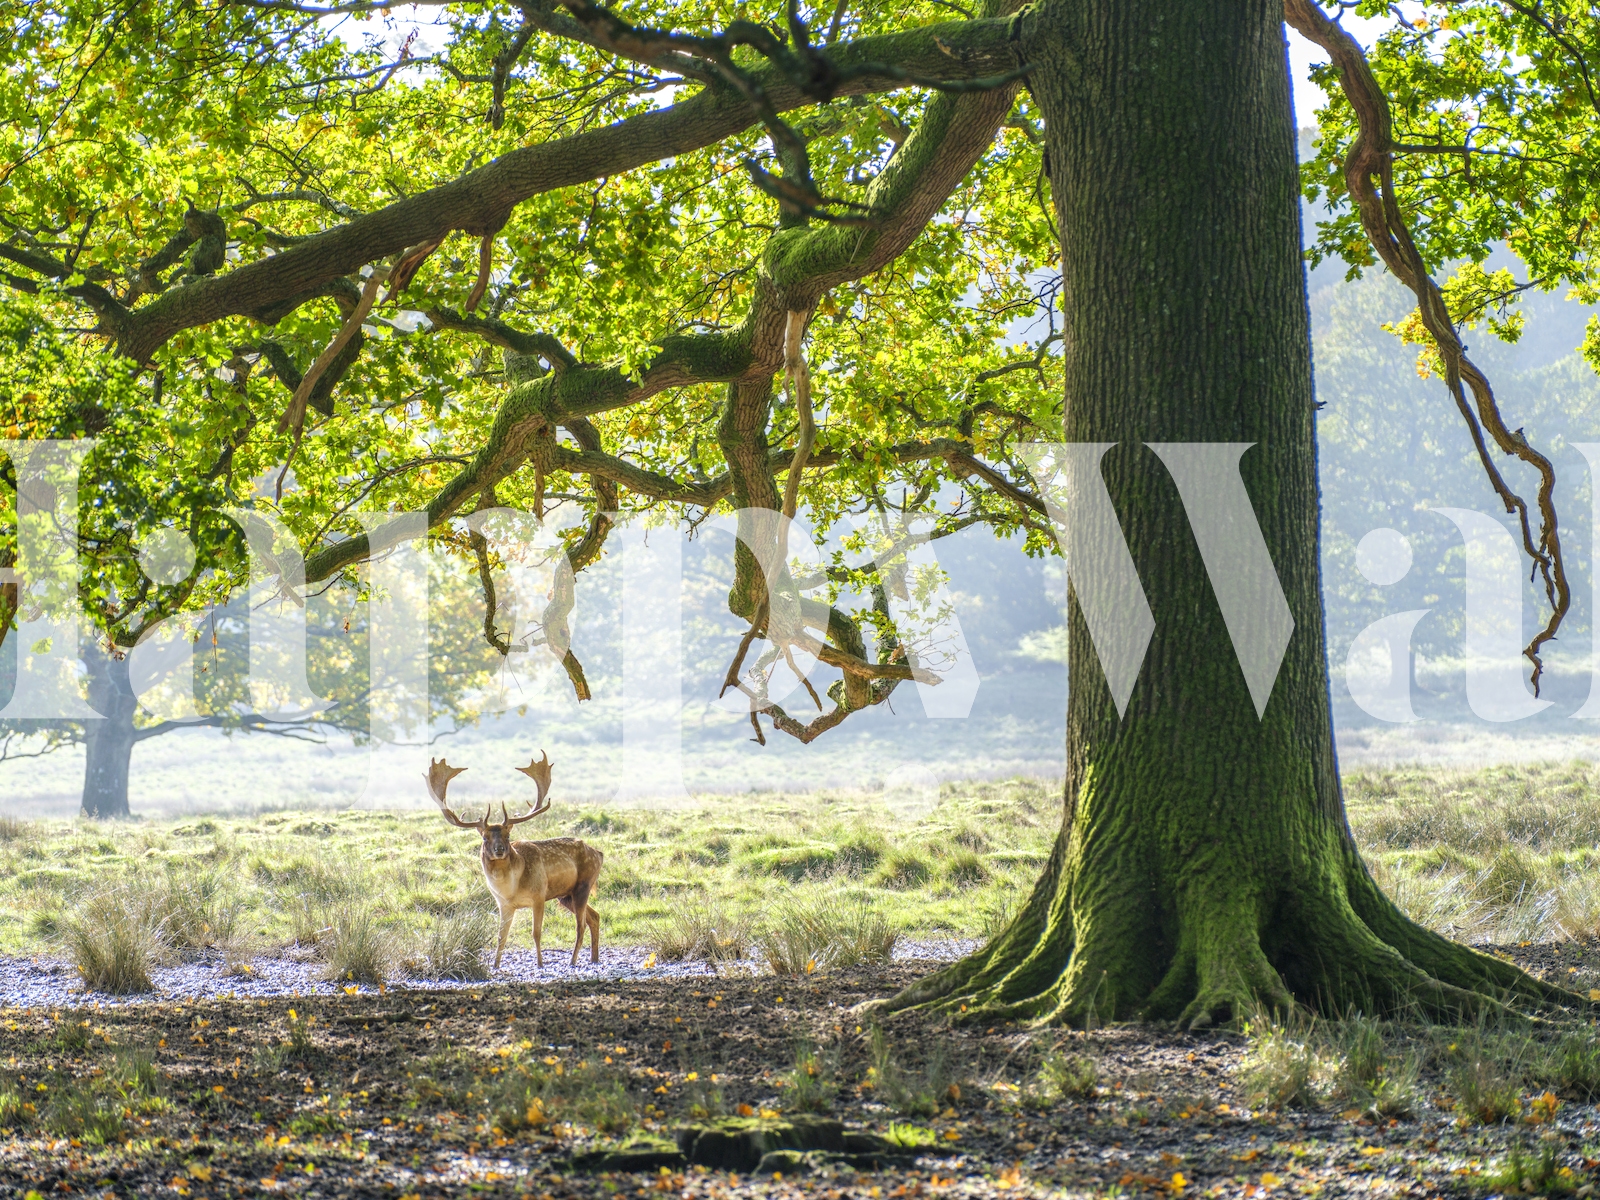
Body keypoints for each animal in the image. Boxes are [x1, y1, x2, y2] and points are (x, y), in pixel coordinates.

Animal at [425, 752, 603, 971]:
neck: (512, 888)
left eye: (507, 836)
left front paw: (540, 964)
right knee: (594, 916)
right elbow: (501, 936)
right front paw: (495, 965)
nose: (500, 850)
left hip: (583, 885)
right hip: (565, 895)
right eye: (485, 838)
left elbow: (536, 933)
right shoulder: (504, 904)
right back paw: (593, 958)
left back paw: (573, 960)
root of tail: (599, 854)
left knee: (581, 925)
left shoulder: (539, 895)